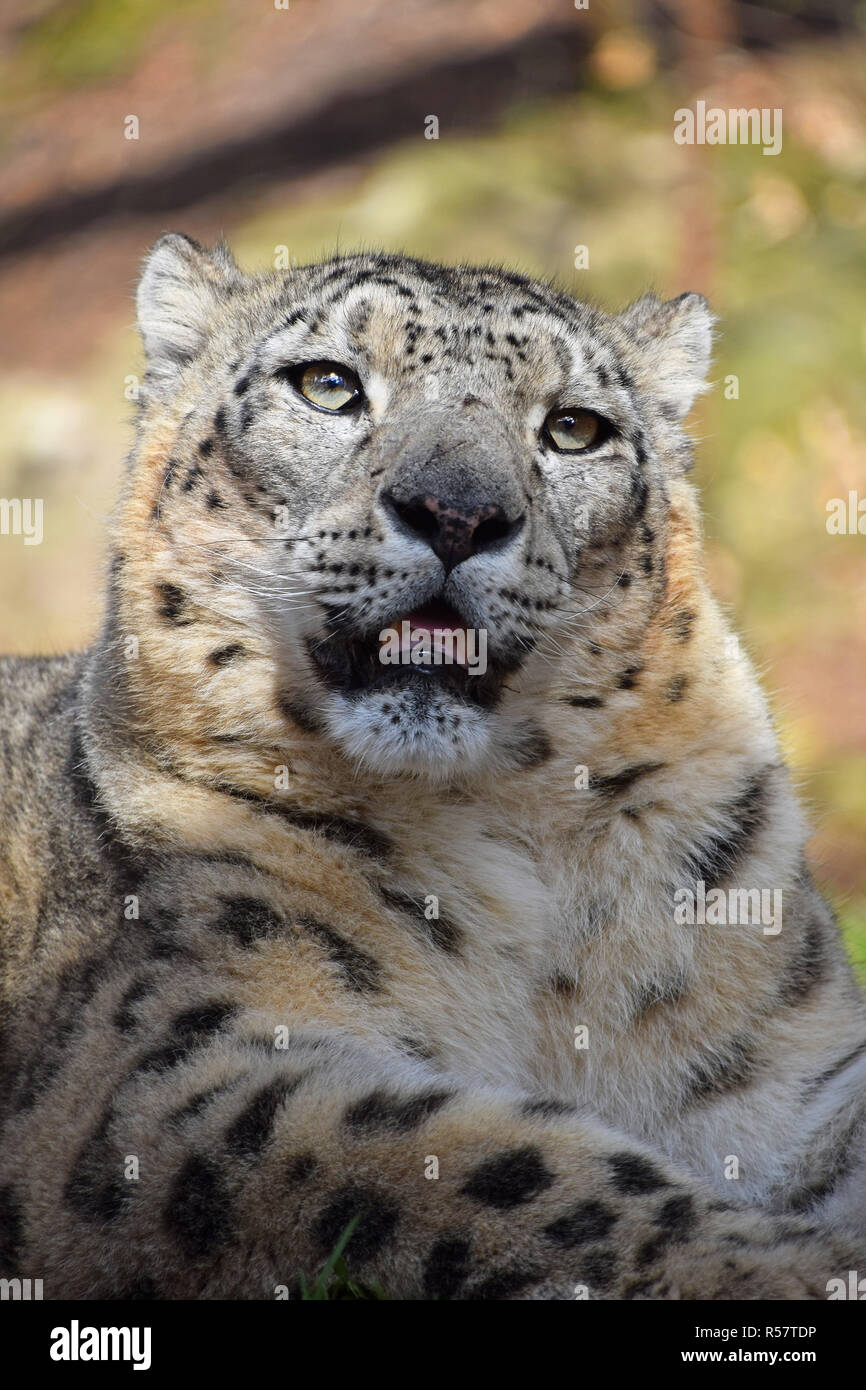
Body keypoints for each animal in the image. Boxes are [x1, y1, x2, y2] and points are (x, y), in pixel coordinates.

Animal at [1, 234, 864, 1300]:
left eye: (574, 428)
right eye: (328, 383)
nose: (458, 513)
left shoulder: (800, 1076)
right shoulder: (169, 1078)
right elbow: (479, 1166)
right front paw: (786, 1265)